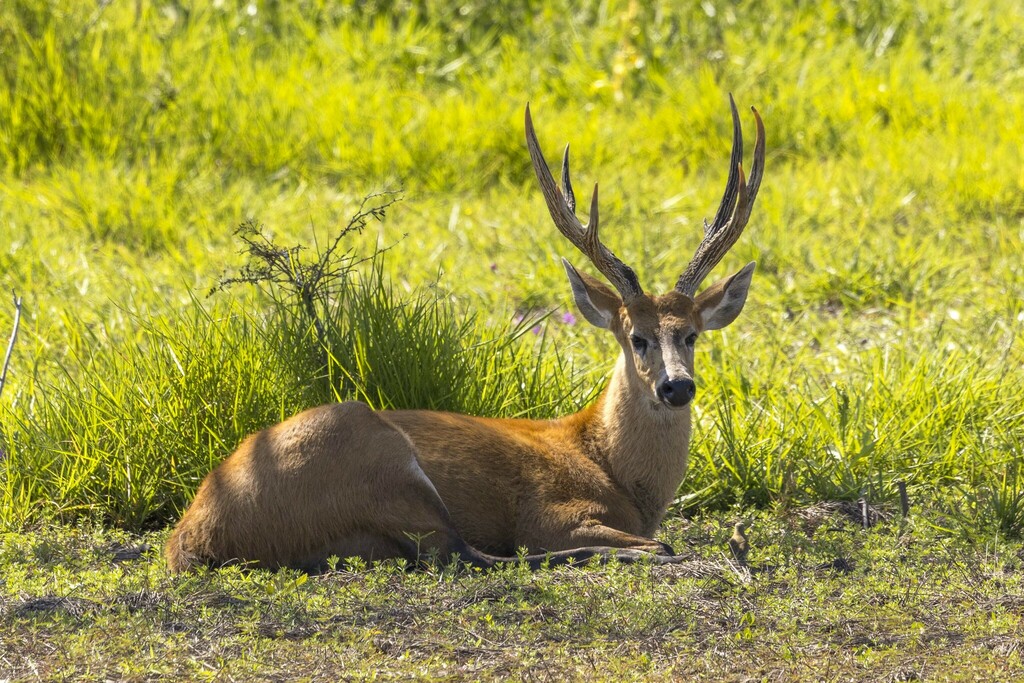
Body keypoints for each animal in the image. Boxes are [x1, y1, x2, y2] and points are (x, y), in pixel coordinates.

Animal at [165, 96, 765, 573]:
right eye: (636, 337)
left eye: (691, 335)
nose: (676, 386)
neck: (611, 467)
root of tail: (191, 536)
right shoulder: (552, 511)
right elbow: (625, 541)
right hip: (382, 461)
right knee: (464, 553)